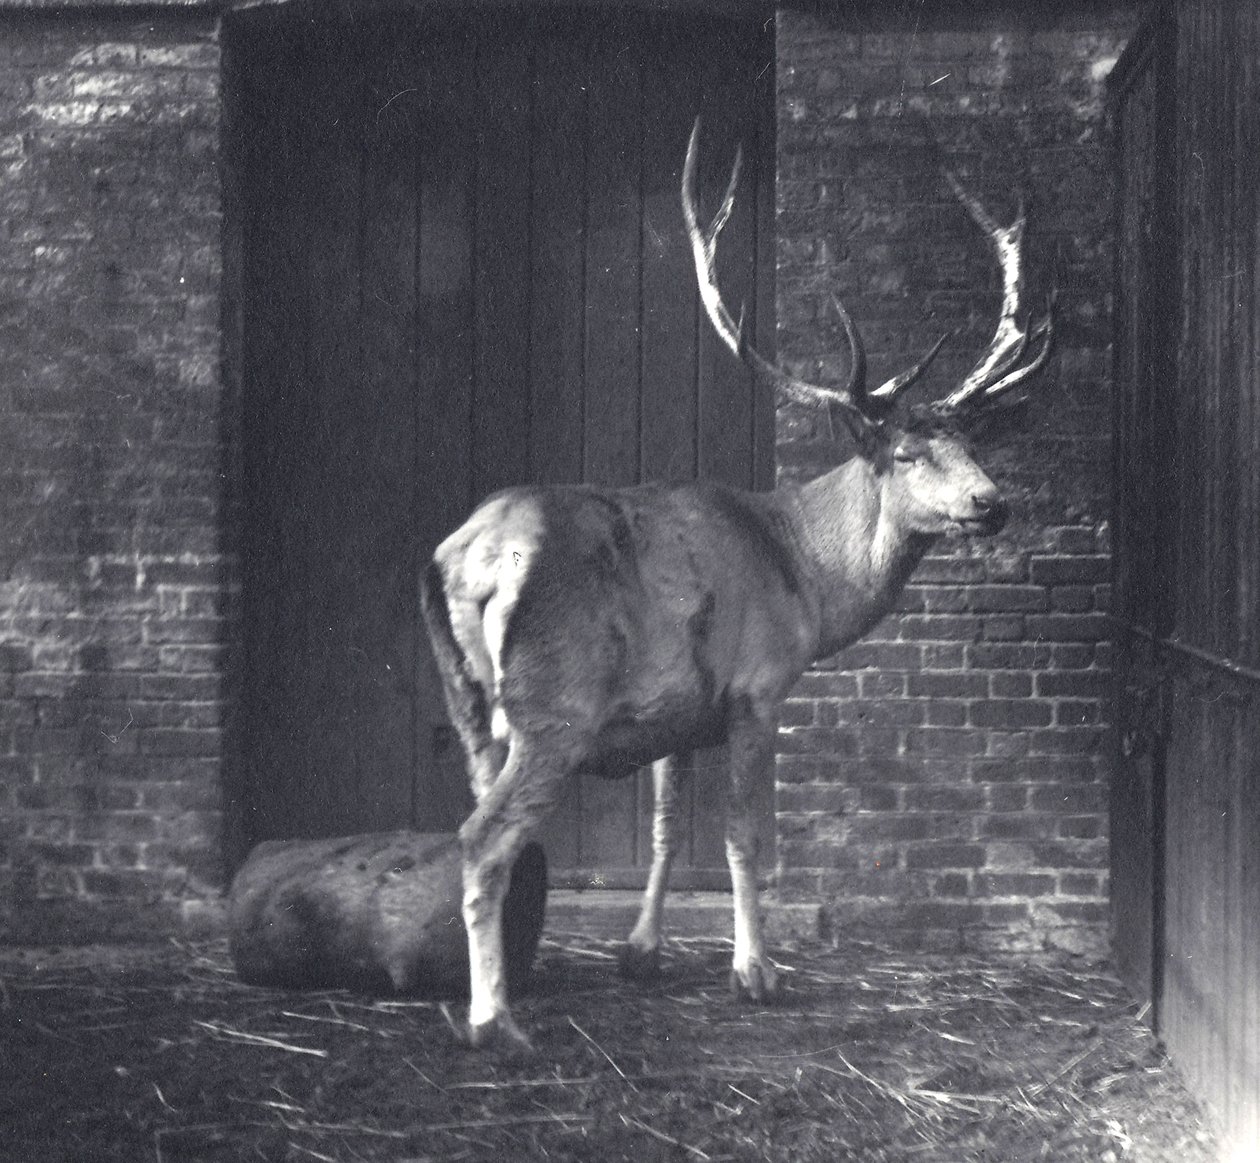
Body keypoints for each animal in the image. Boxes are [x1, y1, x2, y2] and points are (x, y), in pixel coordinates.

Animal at [420, 120, 1054, 1050]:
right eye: (908, 453)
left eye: (971, 443)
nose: (992, 502)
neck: (803, 574)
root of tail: (465, 561)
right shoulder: (758, 683)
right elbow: (745, 836)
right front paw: (756, 970)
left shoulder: (675, 710)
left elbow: (662, 827)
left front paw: (642, 950)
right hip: (552, 707)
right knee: (479, 837)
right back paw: (493, 1016)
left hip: (468, 702)